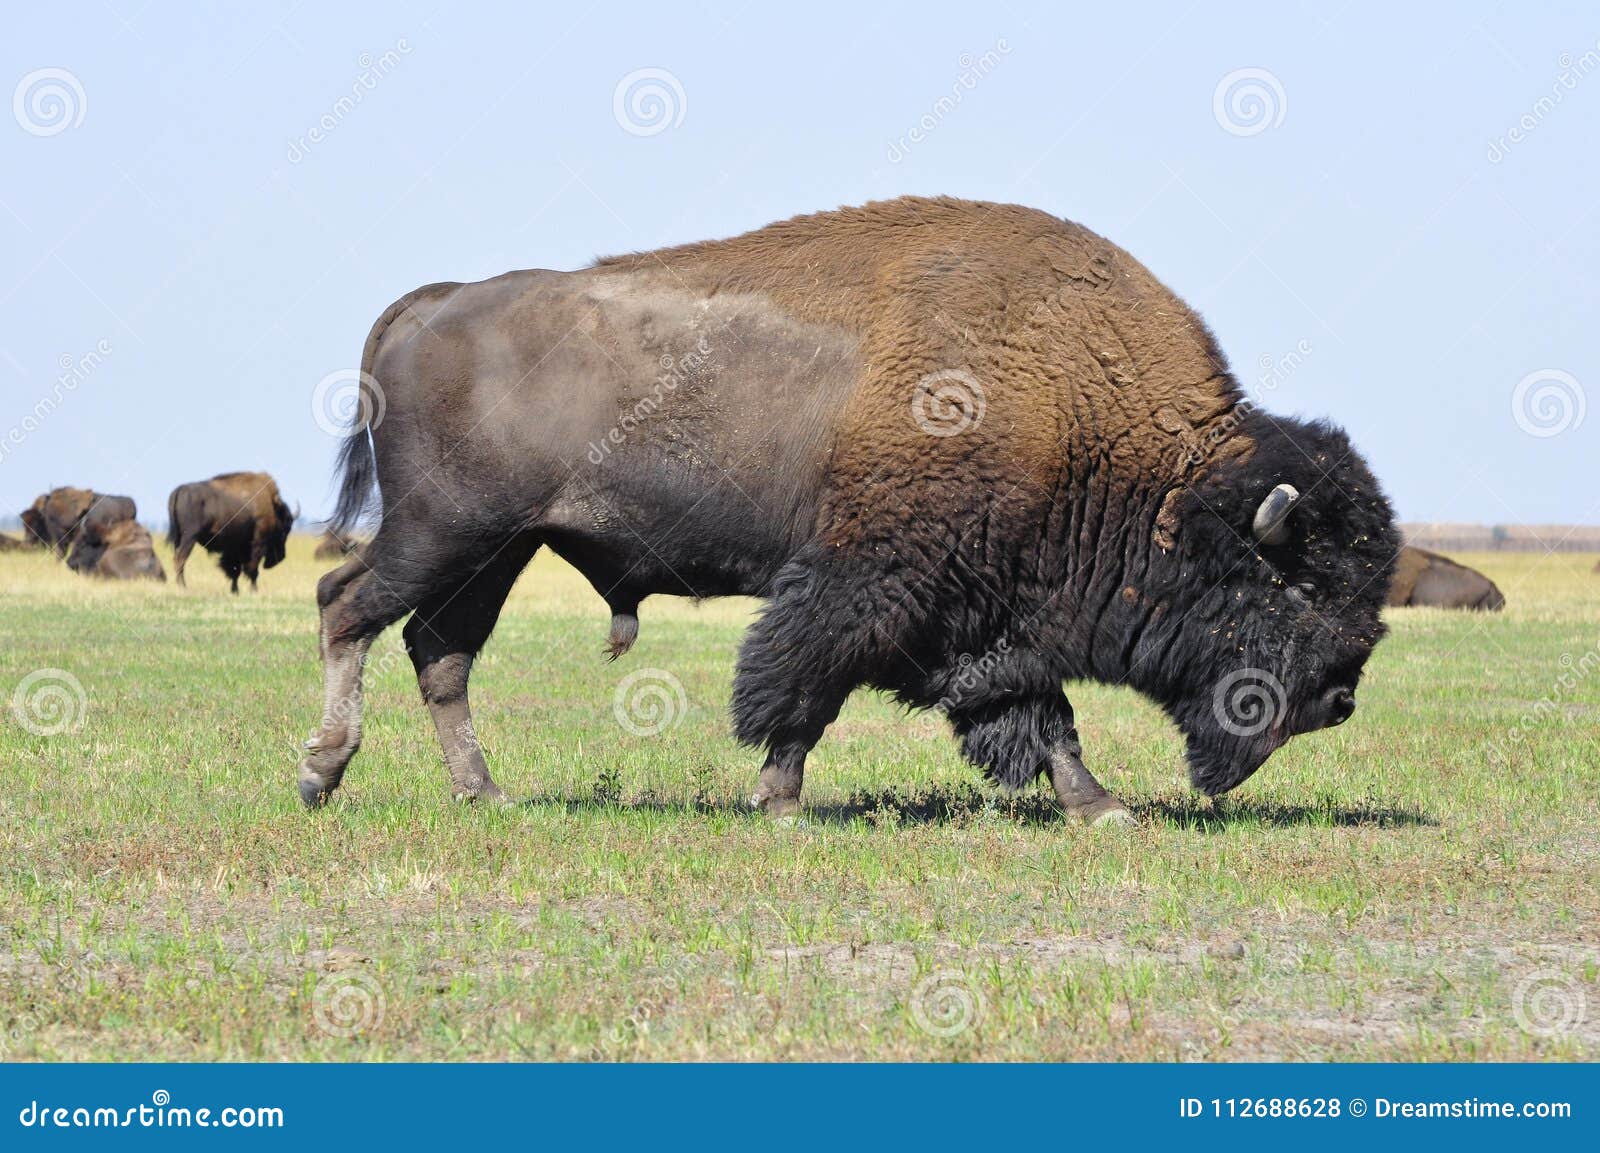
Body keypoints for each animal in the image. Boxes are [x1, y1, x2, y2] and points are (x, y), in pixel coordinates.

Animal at [167, 471, 296, 592]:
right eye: (285, 530)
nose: (281, 556)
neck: (273, 507)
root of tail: (180, 490)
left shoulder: (234, 548)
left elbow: (235, 570)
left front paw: (235, 590)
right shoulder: (257, 544)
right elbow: (252, 569)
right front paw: (253, 590)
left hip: (178, 539)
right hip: (189, 538)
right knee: (180, 559)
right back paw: (183, 587)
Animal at [299, 197, 1399, 822]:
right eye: (1300, 588)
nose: (1341, 696)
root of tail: (433, 303)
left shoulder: (986, 614)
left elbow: (1040, 715)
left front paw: (1100, 809)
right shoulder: (871, 584)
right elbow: (804, 688)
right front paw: (779, 804)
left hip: (499, 549)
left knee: (439, 652)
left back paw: (487, 795)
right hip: (446, 530)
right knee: (348, 606)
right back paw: (321, 774)